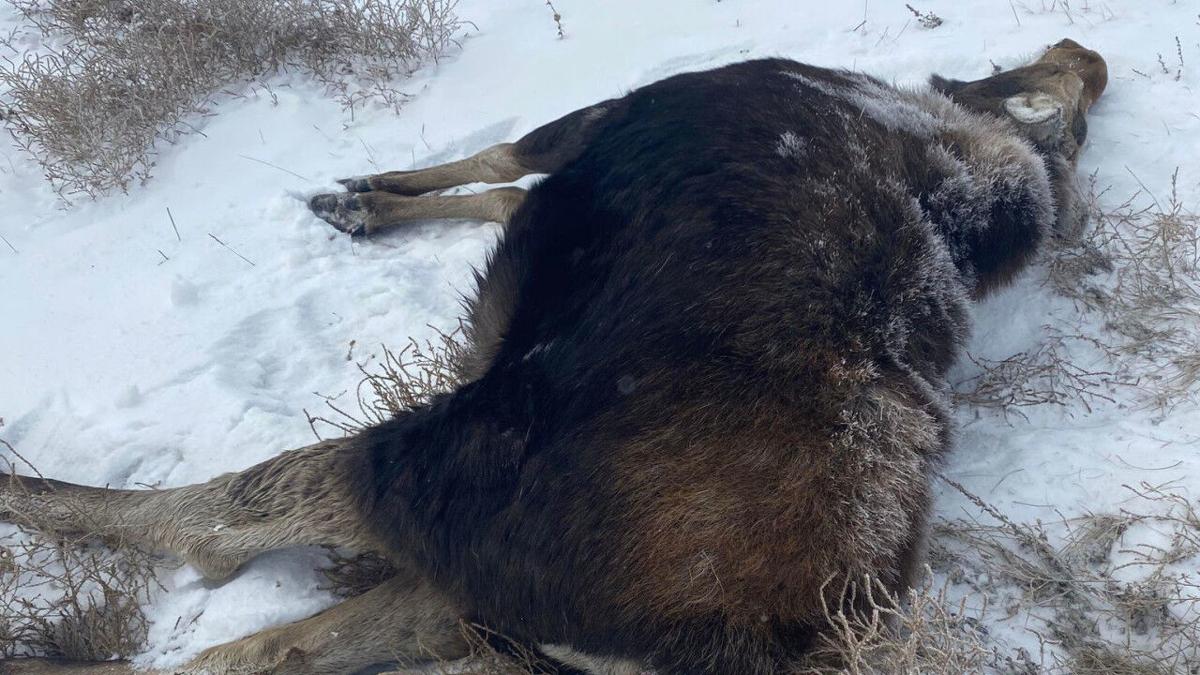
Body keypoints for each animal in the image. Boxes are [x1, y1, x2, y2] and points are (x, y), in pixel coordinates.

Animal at [1, 39, 1107, 674]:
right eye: (1077, 110)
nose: (1081, 48)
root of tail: (765, 634)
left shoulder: (602, 120)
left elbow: (498, 163)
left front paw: (363, 198)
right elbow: (497, 186)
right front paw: (365, 200)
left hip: (430, 462)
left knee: (211, 523)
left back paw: (33, 500)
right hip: (475, 592)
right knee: (279, 649)